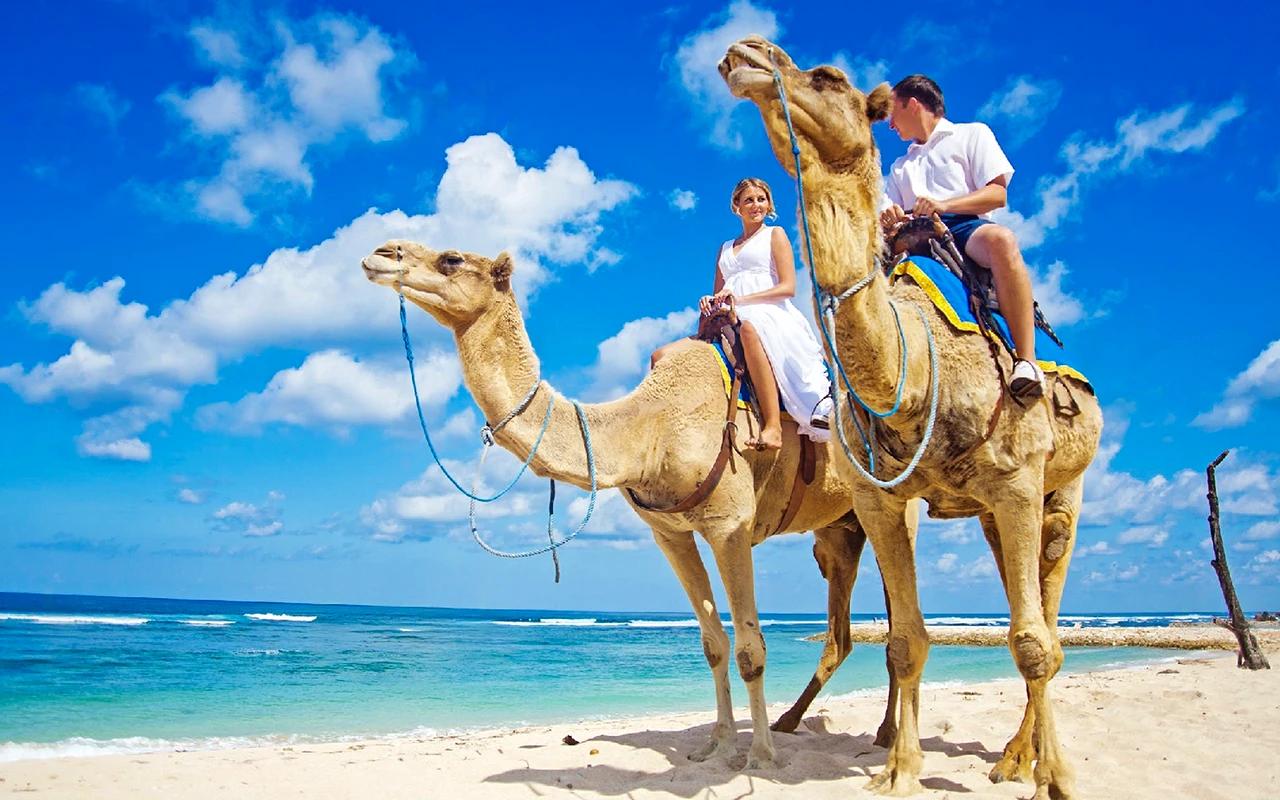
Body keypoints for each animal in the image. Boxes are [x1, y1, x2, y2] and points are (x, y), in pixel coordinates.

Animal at [361, 242, 915, 768]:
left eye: (452, 258)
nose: (380, 253)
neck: (651, 427)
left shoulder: (729, 525)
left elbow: (750, 649)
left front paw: (758, 757)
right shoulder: (669, 533)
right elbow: (713, 644)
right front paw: (716, 745)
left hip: (891, 501)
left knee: (897, 623)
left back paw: (883, 736)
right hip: (839, 529)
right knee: (842, 630)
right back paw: (797, 722)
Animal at [720, 37, 1103, 799]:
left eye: (827, 76)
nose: (747, 50)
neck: (913, 371)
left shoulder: (1018, 482)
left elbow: (1032, 643)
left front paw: (1060, 779)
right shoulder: (878, 498)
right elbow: (904, 640)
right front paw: (899, 767)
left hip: (1061, 488)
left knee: (1047, 625)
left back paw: (1026, 760)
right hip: (986, 515)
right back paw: (999, 755)